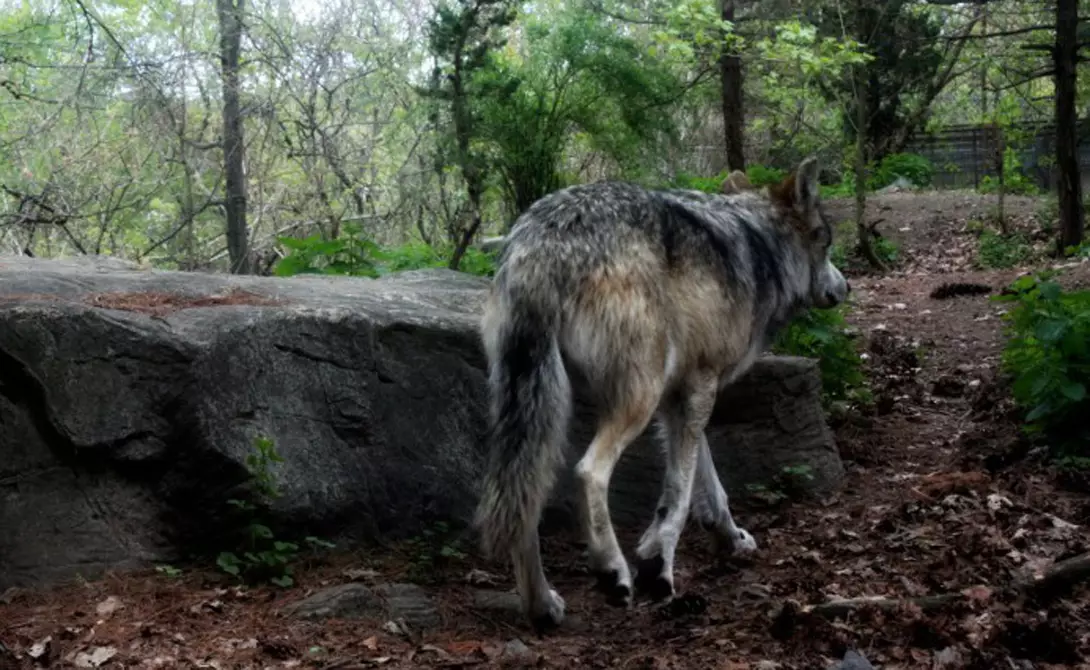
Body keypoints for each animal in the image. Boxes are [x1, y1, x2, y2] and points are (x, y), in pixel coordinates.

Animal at [473, 154, 845, 631]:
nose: (844, 287)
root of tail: (540, 240)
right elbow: (679, 495)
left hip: (541, 405)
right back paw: (612, 571)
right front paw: (658, 567)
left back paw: (542, 605)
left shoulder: (683, 394)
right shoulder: (698, 387)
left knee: (525, 497)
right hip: (634, 400)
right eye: (826, 242)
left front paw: (730, 538)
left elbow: (710, 487)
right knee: (588, 471)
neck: (760, 244)